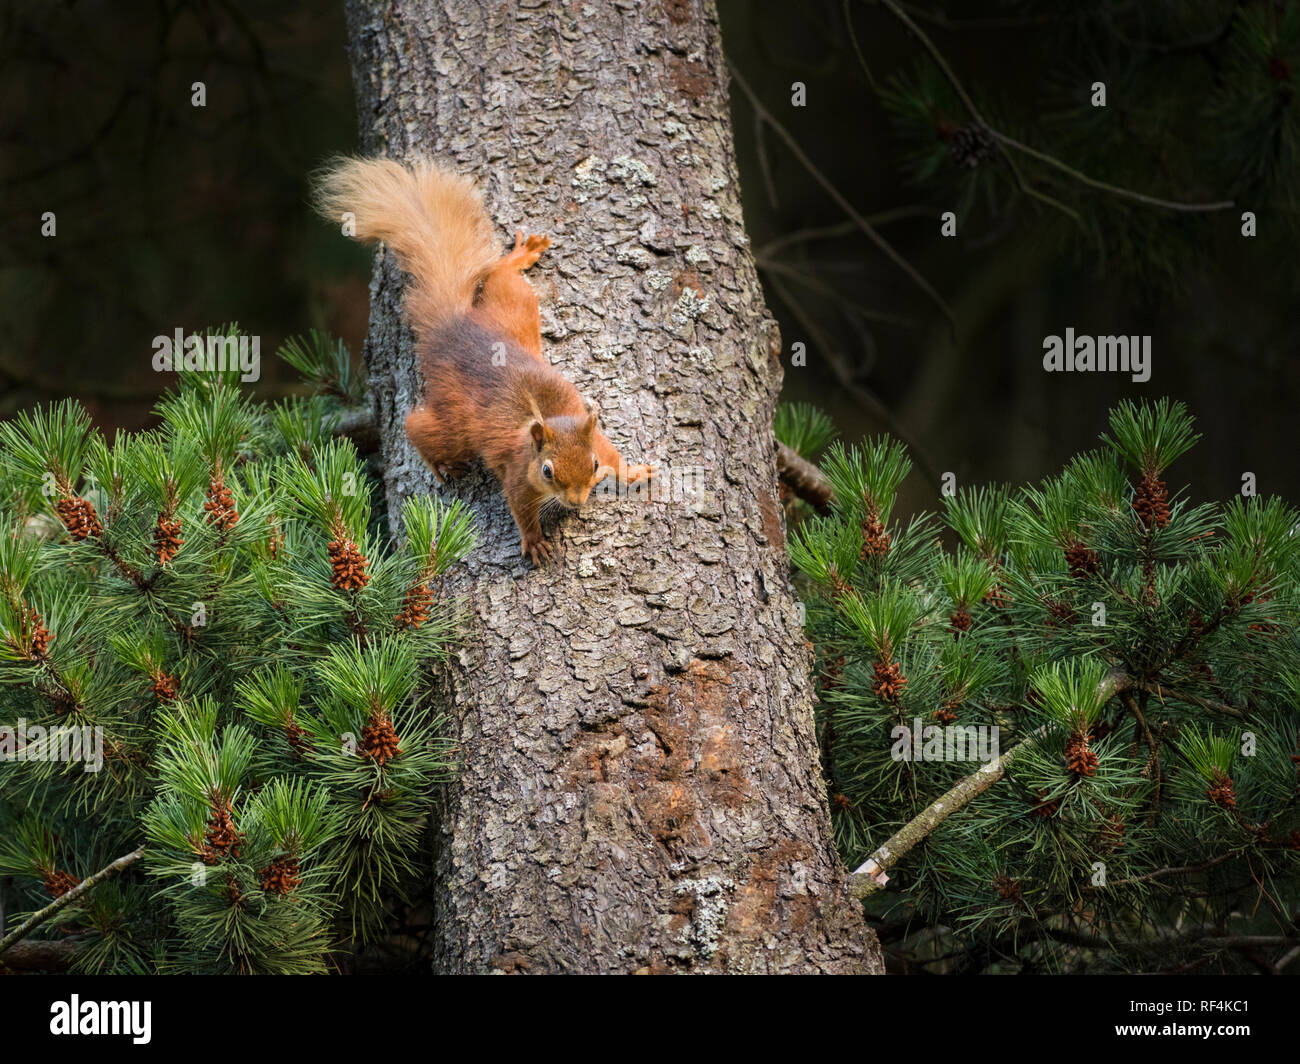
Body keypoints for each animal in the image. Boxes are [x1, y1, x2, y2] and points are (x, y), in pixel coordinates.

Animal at [315, 156, 654, 565]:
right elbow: (521, 508)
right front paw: (534, 541)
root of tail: (453, 326)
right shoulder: (517, 475)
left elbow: (615, 455)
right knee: (419, 427)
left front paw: (634, 473)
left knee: (501, 276)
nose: (576, 502)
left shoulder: (597, 439)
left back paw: (520, 255)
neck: (549, 422)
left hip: (513, 308)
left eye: (592, 464)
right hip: (456, 423)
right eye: (547, 471)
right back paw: (438, 463)